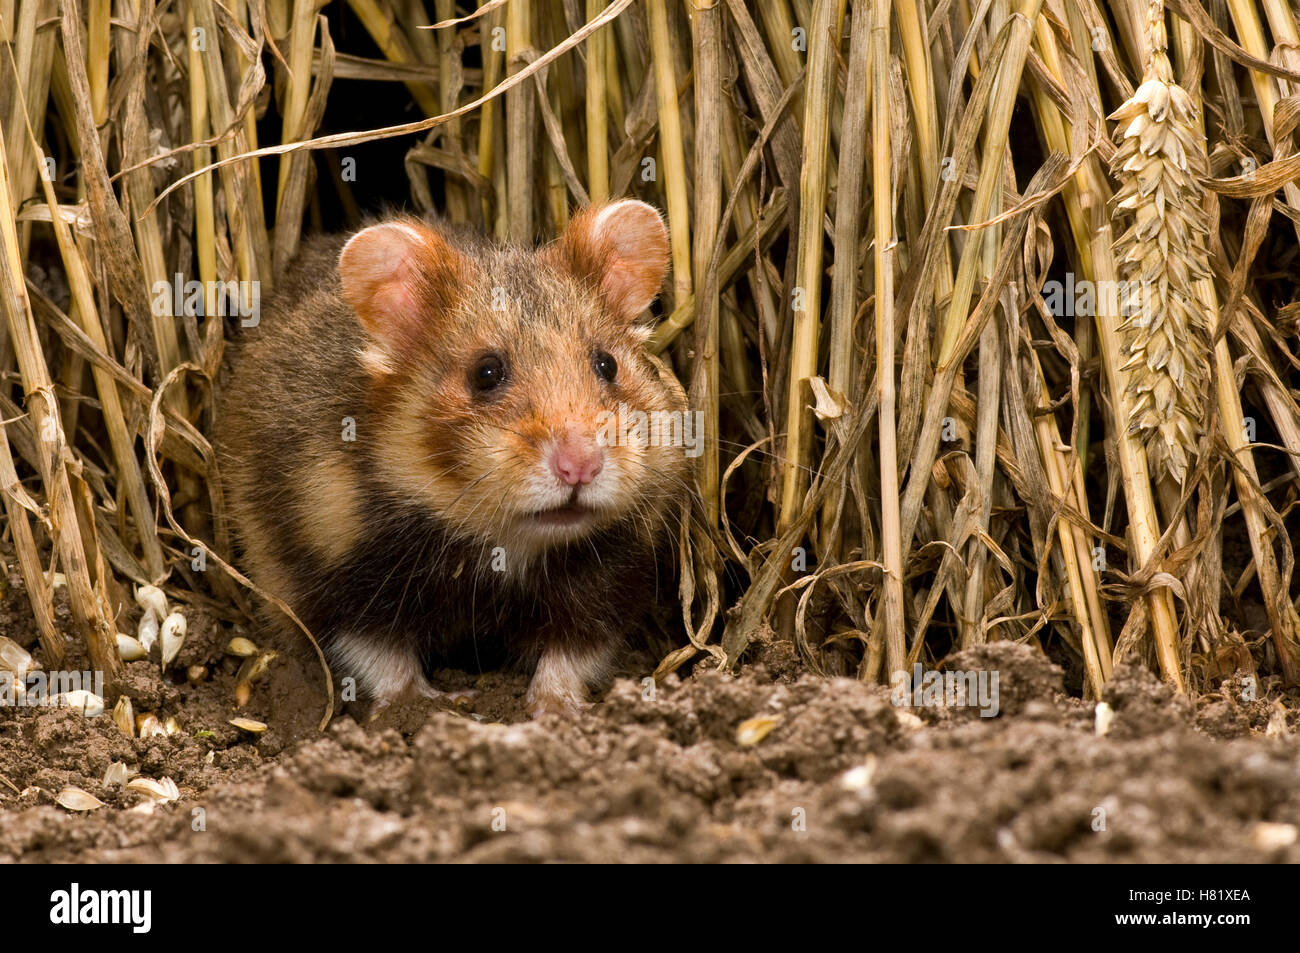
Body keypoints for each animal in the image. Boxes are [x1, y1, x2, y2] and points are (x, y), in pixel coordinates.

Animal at [216, 200, 692, 718]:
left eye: (607, 364)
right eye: (485, 373)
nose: (580, 466)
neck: (505, 543)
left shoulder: (610, 579)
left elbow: (571, 654)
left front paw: (557, 710)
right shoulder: (331, 561)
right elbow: (380, 654)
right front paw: (423, 708)